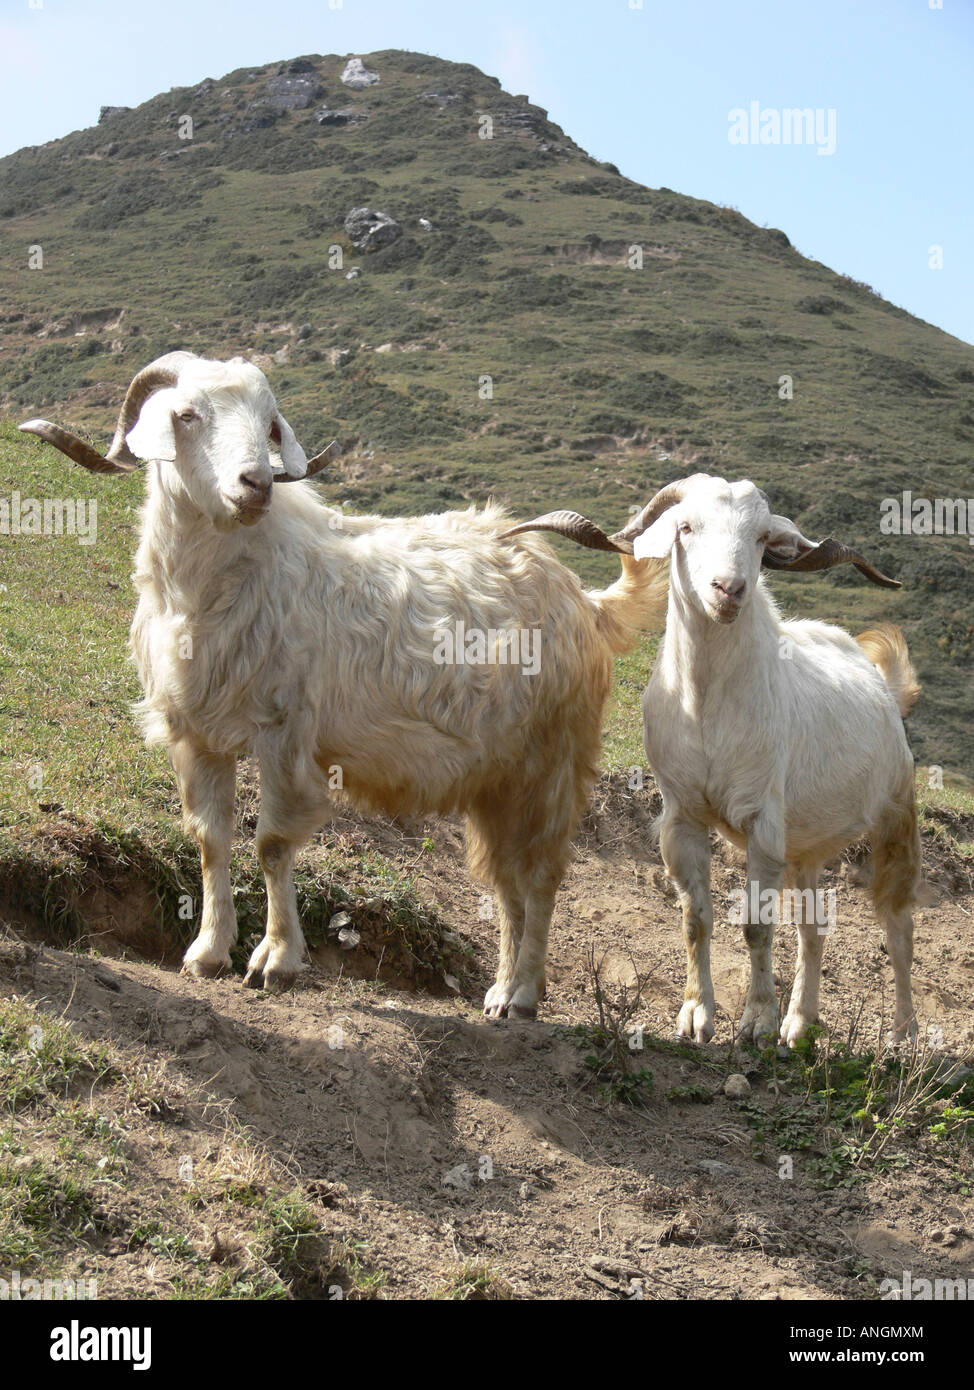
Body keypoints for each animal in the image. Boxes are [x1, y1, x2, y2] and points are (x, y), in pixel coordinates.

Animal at [20, 354, 667, 1015]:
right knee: (507, 878)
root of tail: (587, 602)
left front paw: (276, 961)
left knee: (539, 874)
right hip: (498, 778)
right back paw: (501, 992)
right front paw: (207, 953)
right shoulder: (196, 733)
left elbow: (272, 843)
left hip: (550, 760)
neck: (225, 583)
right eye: (187, 414)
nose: (256, 484)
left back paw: (522, 996)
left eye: (269, 423)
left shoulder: (285, 733)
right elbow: (209, 839)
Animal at [506, 474, 921, 1046]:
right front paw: (697, 1016)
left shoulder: (761, 822)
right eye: (686, 526)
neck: (707, 712)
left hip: (895, 816)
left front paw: (757, 1023)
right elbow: (696, 918)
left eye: (762, 537)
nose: (728, 589)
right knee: (812, 928)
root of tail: (884, 685)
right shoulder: (683, 814)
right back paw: (800, 1024)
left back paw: (902, 1035)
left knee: (898, 926)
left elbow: (756, 925)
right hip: (806, 848)